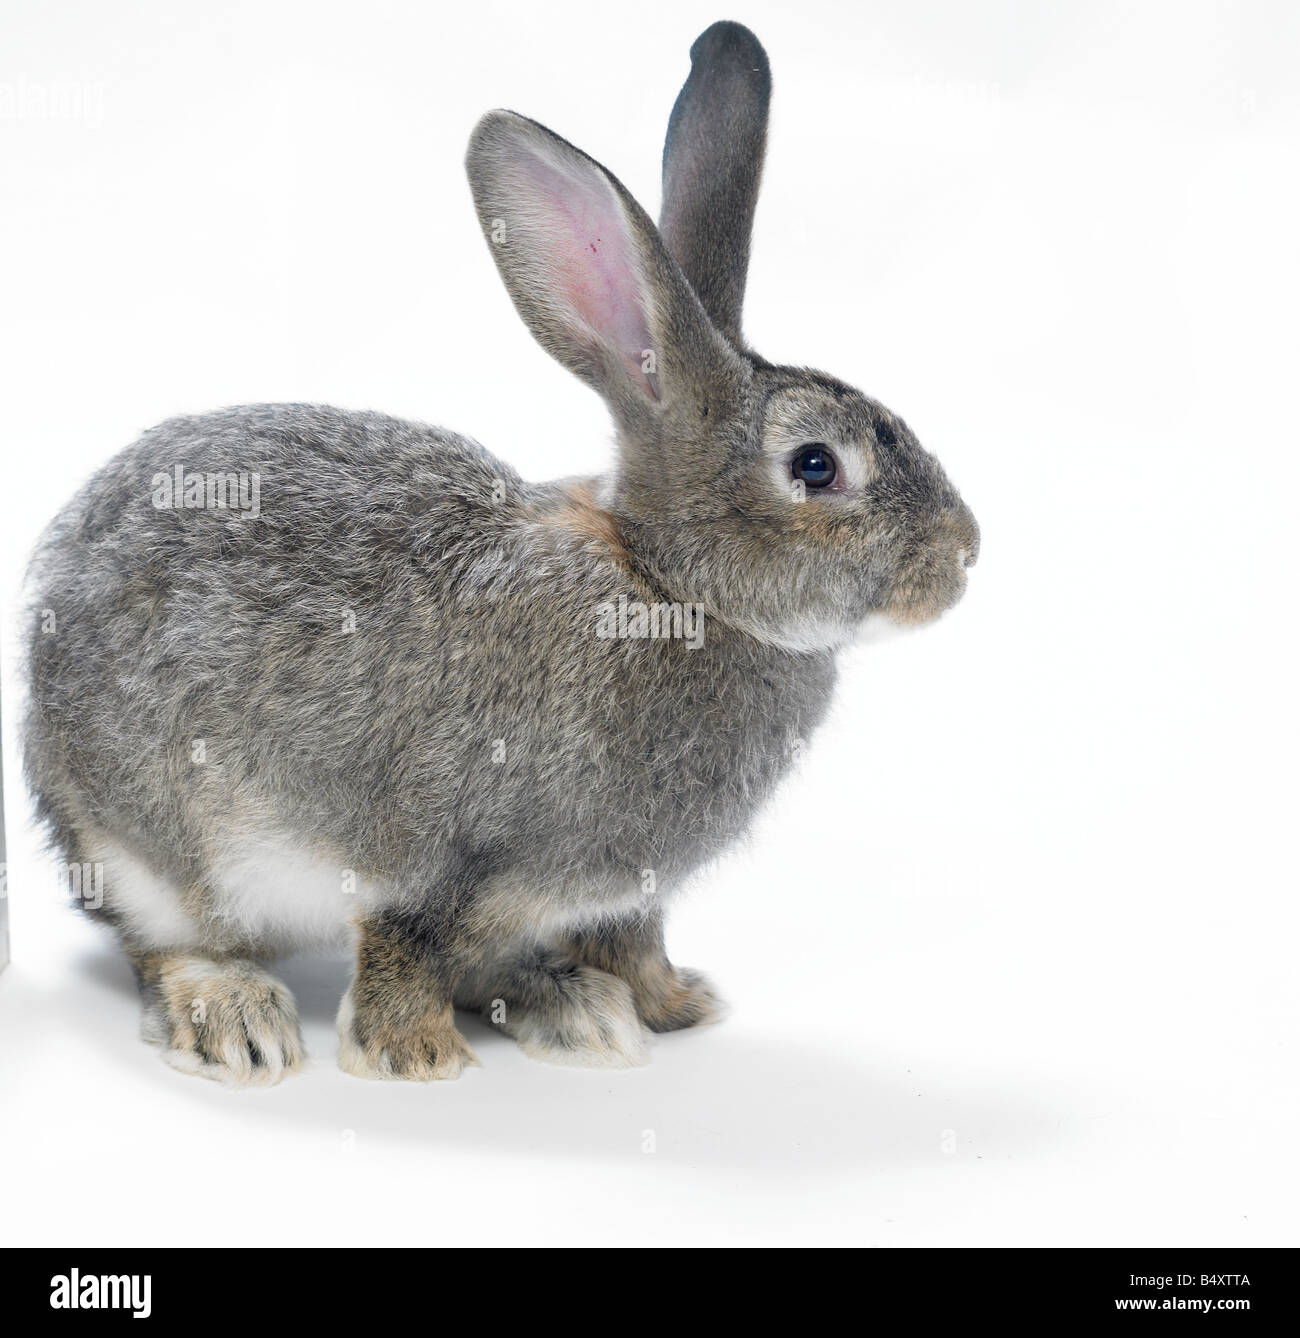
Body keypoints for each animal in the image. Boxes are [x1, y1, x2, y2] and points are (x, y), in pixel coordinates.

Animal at [22, 21, 978, 1085]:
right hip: (151, 841)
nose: (964, 555)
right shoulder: (444, 856)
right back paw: (236, 1016)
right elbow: (405, 941)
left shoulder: (614, 893)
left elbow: (624, 942)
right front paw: (415, 1056)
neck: (662, 581)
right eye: (816, 466)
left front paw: (656, 1008)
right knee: (164, 938)